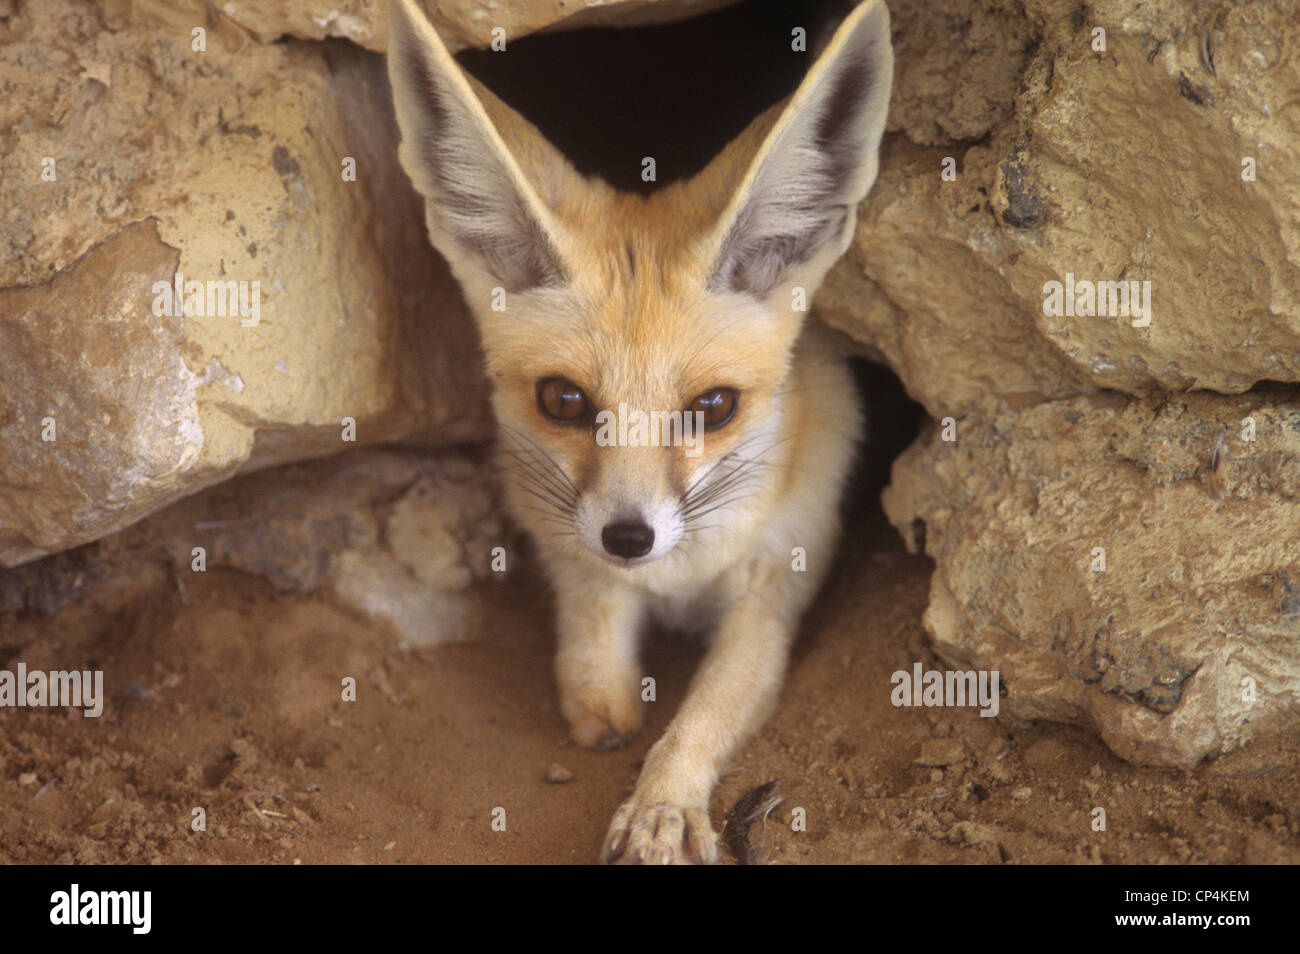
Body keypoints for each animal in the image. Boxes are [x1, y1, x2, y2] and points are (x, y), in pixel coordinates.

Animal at [387, 0, 893, 863]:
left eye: (714, 407)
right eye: (562, 399)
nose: (630, 538)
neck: (678, 581)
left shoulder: (775, 584)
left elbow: (706, 713)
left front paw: (665, 803)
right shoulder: (568, 546)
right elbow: (592, 659)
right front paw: (610, 711)